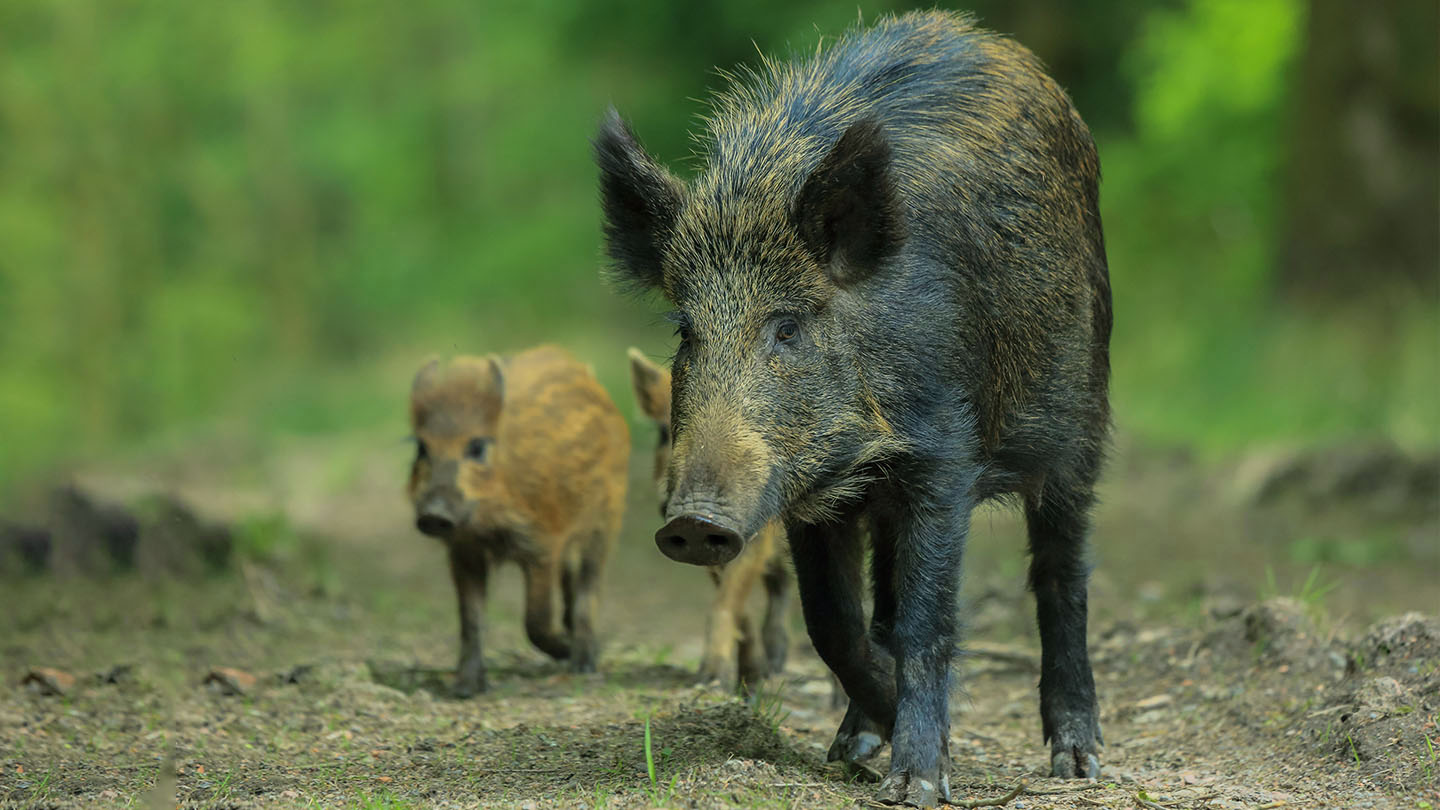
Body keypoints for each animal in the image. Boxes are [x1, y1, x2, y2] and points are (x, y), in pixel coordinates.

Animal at [408, 346, 629, 696]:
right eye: (421, 447)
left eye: (477, 446)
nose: (433, 514)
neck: (488, 526)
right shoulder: (463, 551)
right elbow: (471, 617)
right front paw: (465, 689)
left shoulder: (543, 544)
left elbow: (535, 619)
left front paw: (564, 651)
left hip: (607, 520)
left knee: (589, 585)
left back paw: (583, 663)